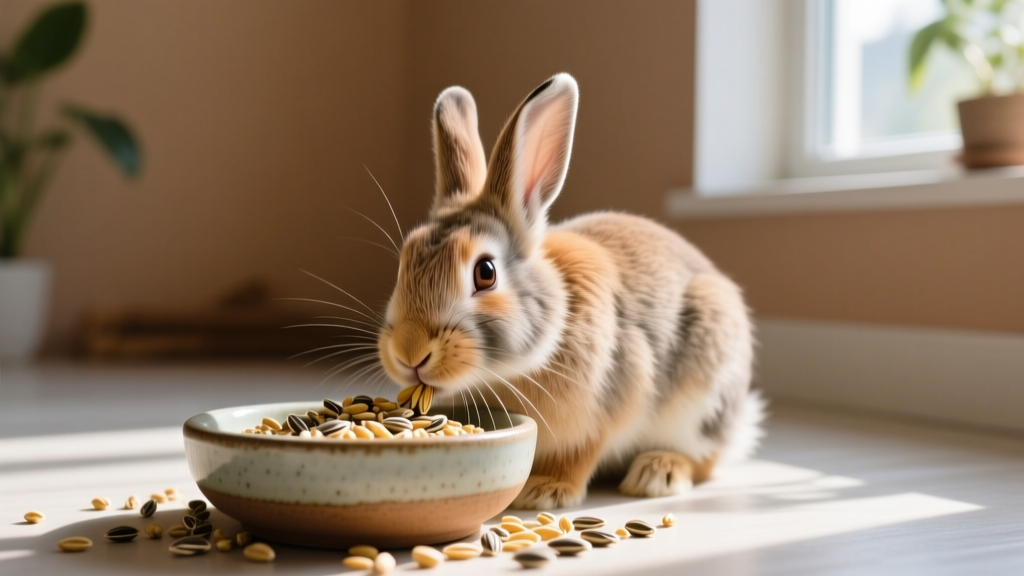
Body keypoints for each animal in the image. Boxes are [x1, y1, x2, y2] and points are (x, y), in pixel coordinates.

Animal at [377, 73, 763, 510]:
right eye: (404, 262)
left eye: (485, 273)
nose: (409, 354)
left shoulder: (603, 411)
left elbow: (580, 455)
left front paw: (544, 491)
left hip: (703, 398)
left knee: (706, 458)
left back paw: (657, 473)